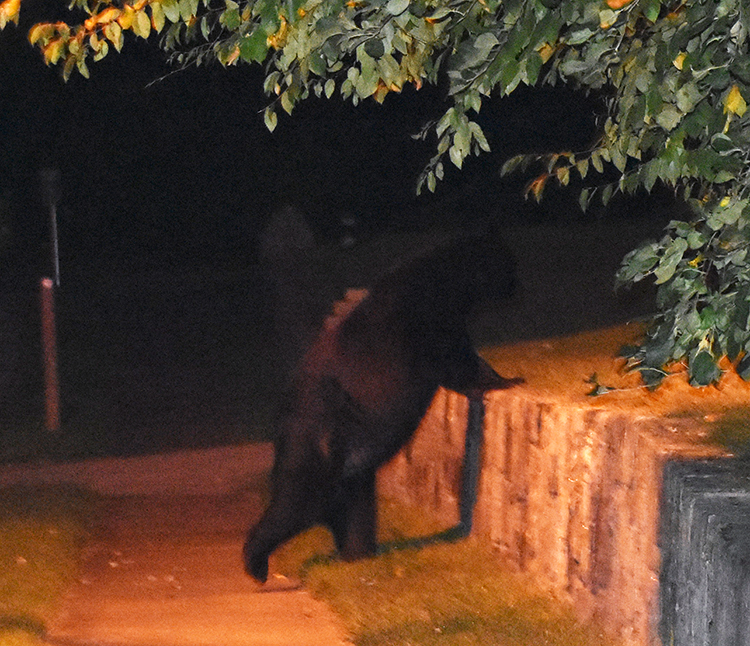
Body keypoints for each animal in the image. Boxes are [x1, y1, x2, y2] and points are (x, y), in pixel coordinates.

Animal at [243, 232, 520, 583]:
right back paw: (257, 562)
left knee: (355, 512)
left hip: (352, 472)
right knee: (296, 502)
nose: (517, 285)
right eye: (510, 262)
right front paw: (505, 380)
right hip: (318, 443)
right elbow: (458, 361)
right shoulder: (428, 320)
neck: (443, 280)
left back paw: (358, 554)